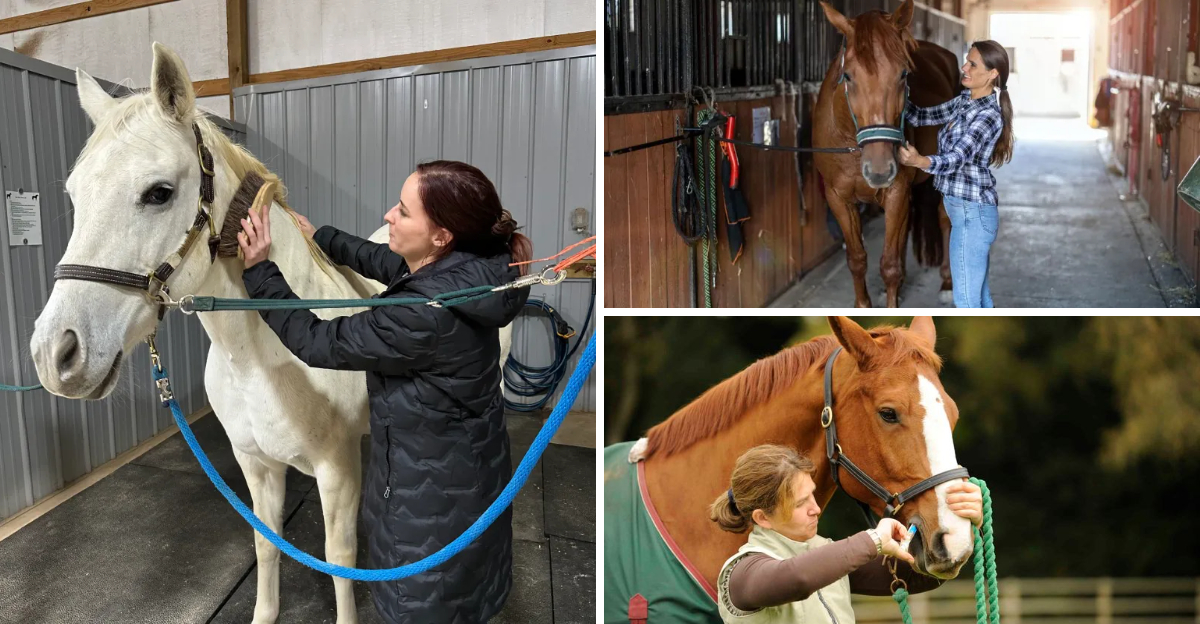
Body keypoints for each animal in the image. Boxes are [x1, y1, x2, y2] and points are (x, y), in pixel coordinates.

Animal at [28, 43, 511, 624]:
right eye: (75, 195)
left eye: (159, 192)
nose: (55, 354)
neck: (256, 361)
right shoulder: (254, 465)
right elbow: (266, 543)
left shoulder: (335, 470)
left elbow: (339, 558)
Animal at [812, 0, 961, 307]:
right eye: (847, 76)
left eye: (903, 74)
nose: (879, 170)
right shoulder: (838, 198)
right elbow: (857, 259)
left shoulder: (896, 192)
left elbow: (889, 265)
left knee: (944, 220)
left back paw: (946, 284)